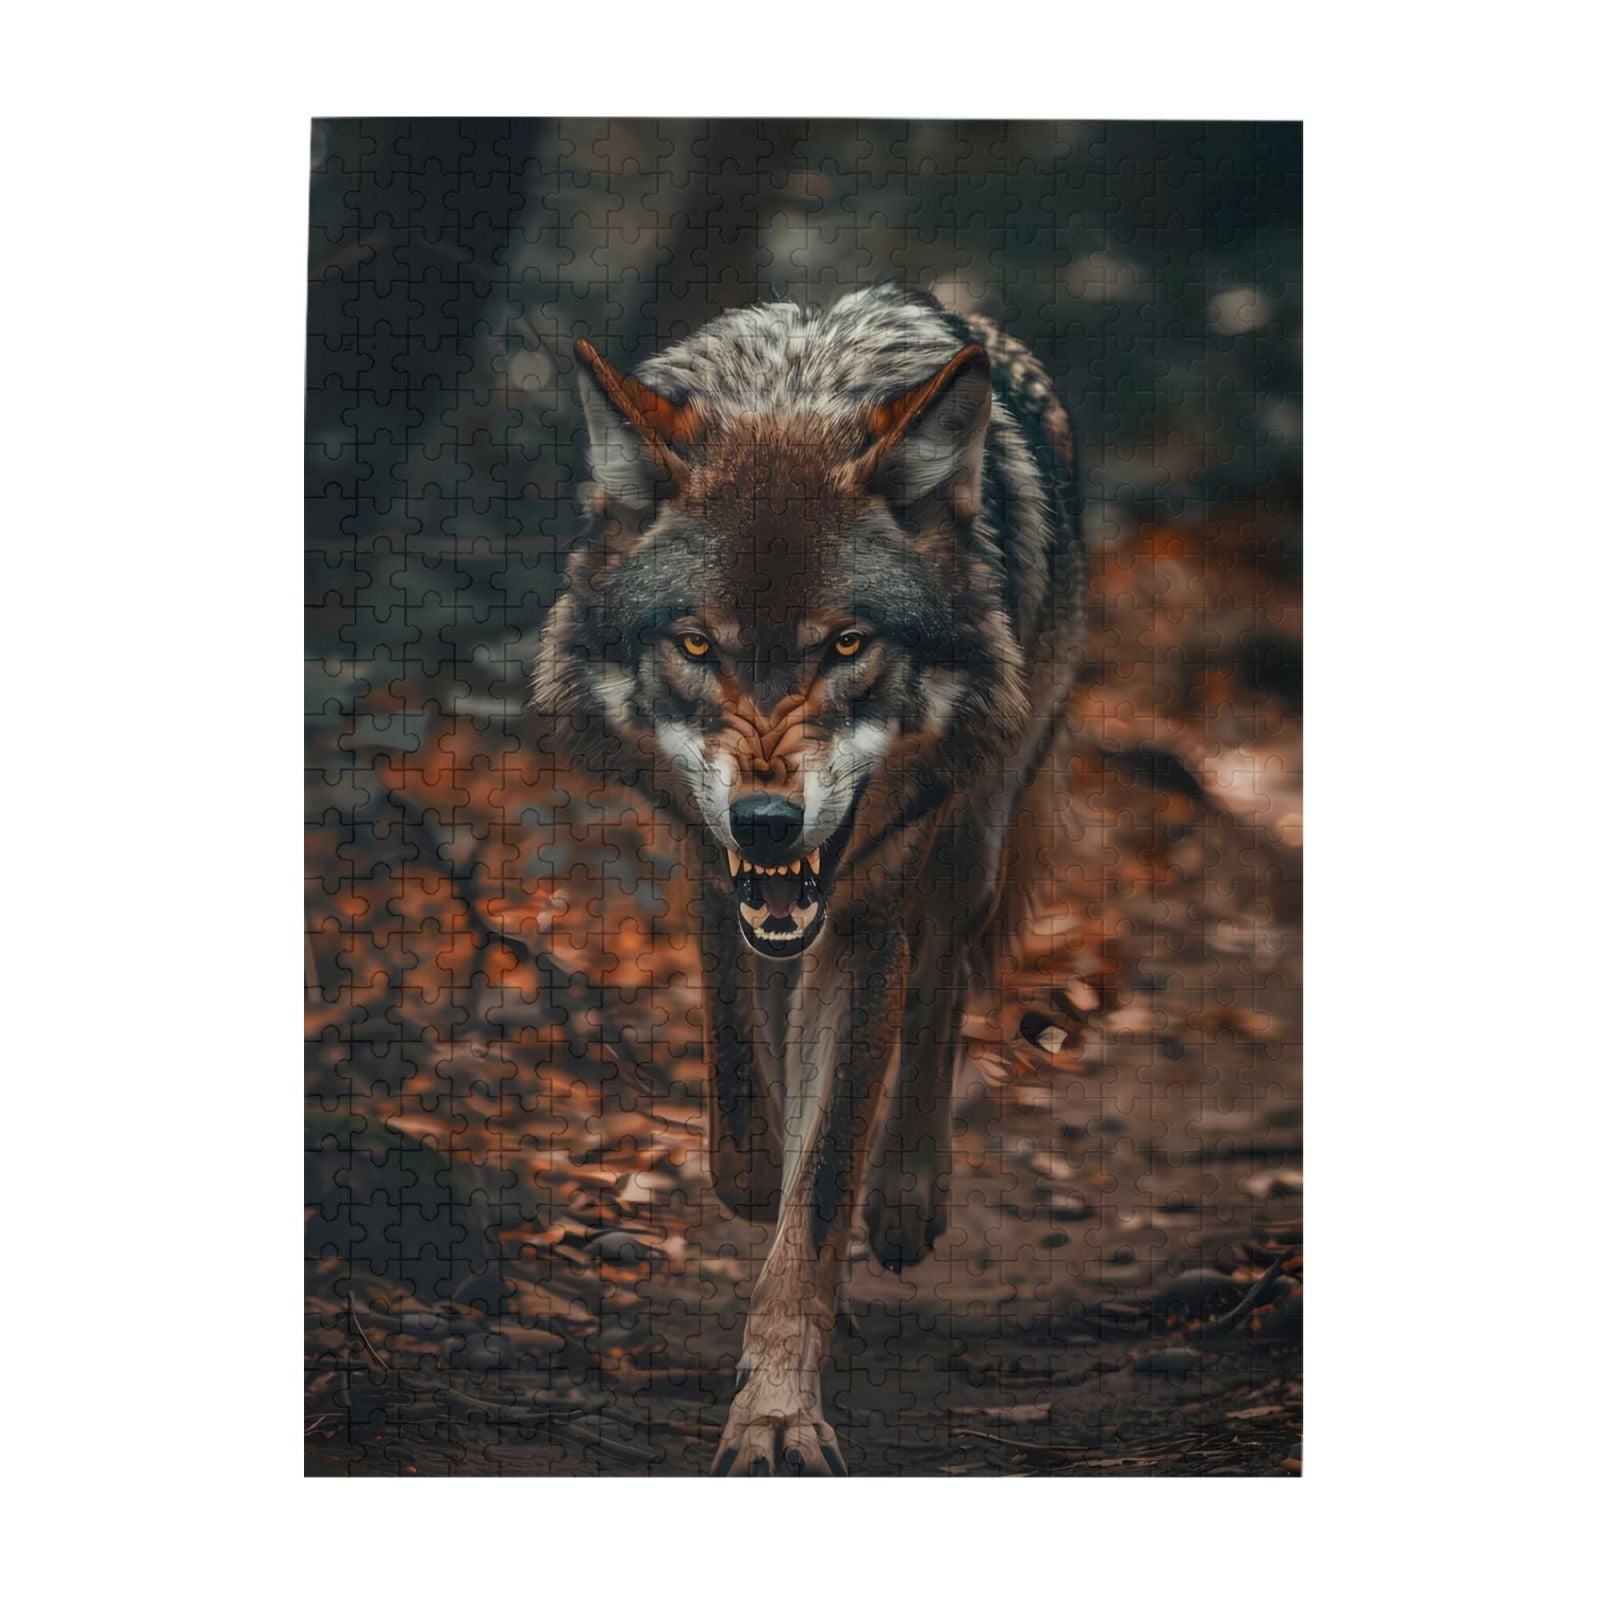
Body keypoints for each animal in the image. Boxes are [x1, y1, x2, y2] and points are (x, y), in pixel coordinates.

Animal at [533, 284, 1083, 1474]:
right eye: (696, 644)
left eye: (846, 646)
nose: (770, 821)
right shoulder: (715, 874)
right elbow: (747, 1103)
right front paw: (766, 1199)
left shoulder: (866, 918)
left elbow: (825, 1172)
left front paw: (779, 1409)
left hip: (975, 829)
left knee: (943, 982)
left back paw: (907, 1195)